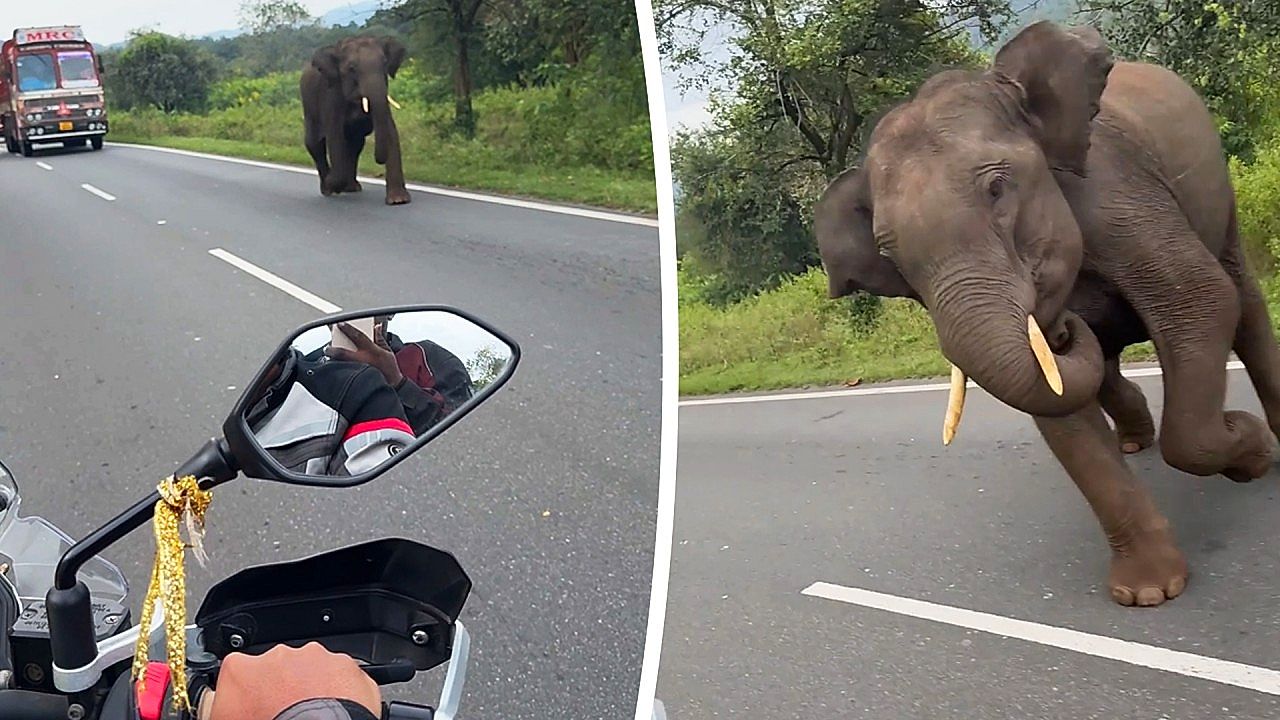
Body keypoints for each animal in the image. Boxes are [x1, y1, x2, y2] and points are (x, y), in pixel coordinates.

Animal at [300, 35, 411, 205]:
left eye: (385, 62)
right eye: (351, 68)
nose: (378, 161)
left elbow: (391, 131)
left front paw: (398, 200)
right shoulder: (331, 95)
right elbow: (335, 136)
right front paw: (333, 184)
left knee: (355, 144)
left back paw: (351, 187)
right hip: (308, 104)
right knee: (314, 143)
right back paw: (328, 188)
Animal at [814, 20, 1280, 608]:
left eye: (997, 188)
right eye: (889, 253)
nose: (1060, 323)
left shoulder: (1116, 192)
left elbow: (1199, 298)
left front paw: (1252, 448)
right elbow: (1055, 401)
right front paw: (1147, 594)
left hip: (1216, 192)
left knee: (1241, 296)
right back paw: (1133, 439)